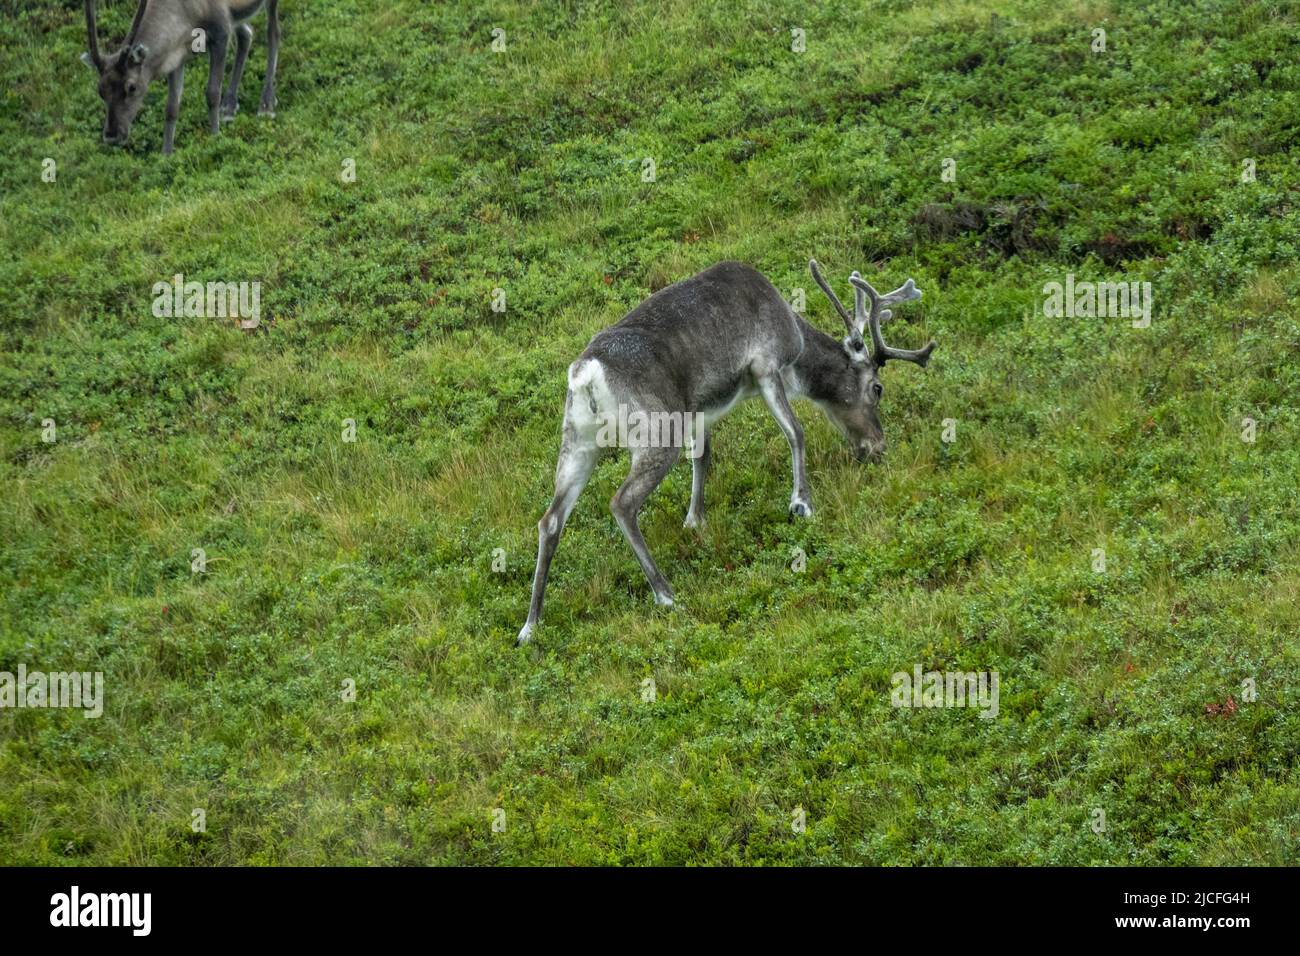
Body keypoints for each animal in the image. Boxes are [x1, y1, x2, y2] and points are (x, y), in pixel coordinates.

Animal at [80, 0, 282, 154]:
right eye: (100, 90)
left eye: (132, 87)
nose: (111, 135)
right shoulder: (176, 56)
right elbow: (171, 108)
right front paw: (166, 154)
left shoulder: (221, 30)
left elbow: (212, 93)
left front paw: (215, 139)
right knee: (246, 34)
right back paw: (229, 107)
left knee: (273, 32)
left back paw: (266, 104)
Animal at [516, 259, 936, 645]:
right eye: (877, 388)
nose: (877, 447)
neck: (796, 348)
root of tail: (586, 374)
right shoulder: (766, 365)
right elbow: (796, 433)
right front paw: (801, 502)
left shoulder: (701, 410)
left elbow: (703, 457)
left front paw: (694, 519)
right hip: (656, 431)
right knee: (621, 502)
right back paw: (665, 593)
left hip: (578, 438)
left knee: (550, 519)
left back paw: (530, 626)